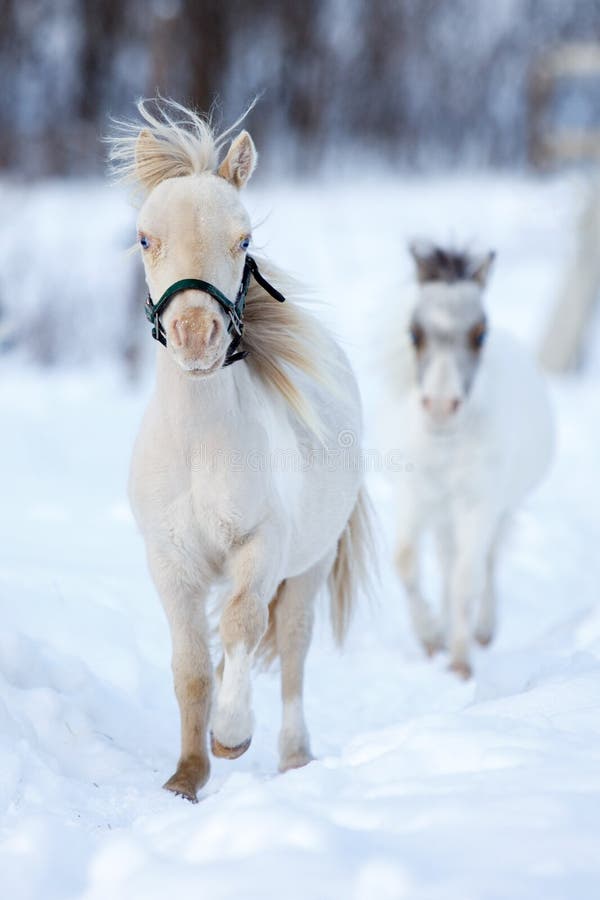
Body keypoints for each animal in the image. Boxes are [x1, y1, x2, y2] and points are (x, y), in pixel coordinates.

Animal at [109, 100, 372, 801]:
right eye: (145, 238)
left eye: (244, 239)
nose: (195, 336)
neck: (200, 452)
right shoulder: (170, 563)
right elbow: (192, 665)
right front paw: (186, 776)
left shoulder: (263, 547)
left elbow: (244, 628)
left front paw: (230, 736)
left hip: (310, 566)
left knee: (293, 650)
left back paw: (293, 756)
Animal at [391, 242, 554, 678]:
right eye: (414, 333)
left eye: (480, 334)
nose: (441, 407)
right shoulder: (416, 496)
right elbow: (408, 563)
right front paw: (432, 637)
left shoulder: (477, 504)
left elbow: (468, 577)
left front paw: (461, 662)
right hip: (444, 515)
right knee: (448, 561)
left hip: (497, 509)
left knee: (486, 561)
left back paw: (482, 631)